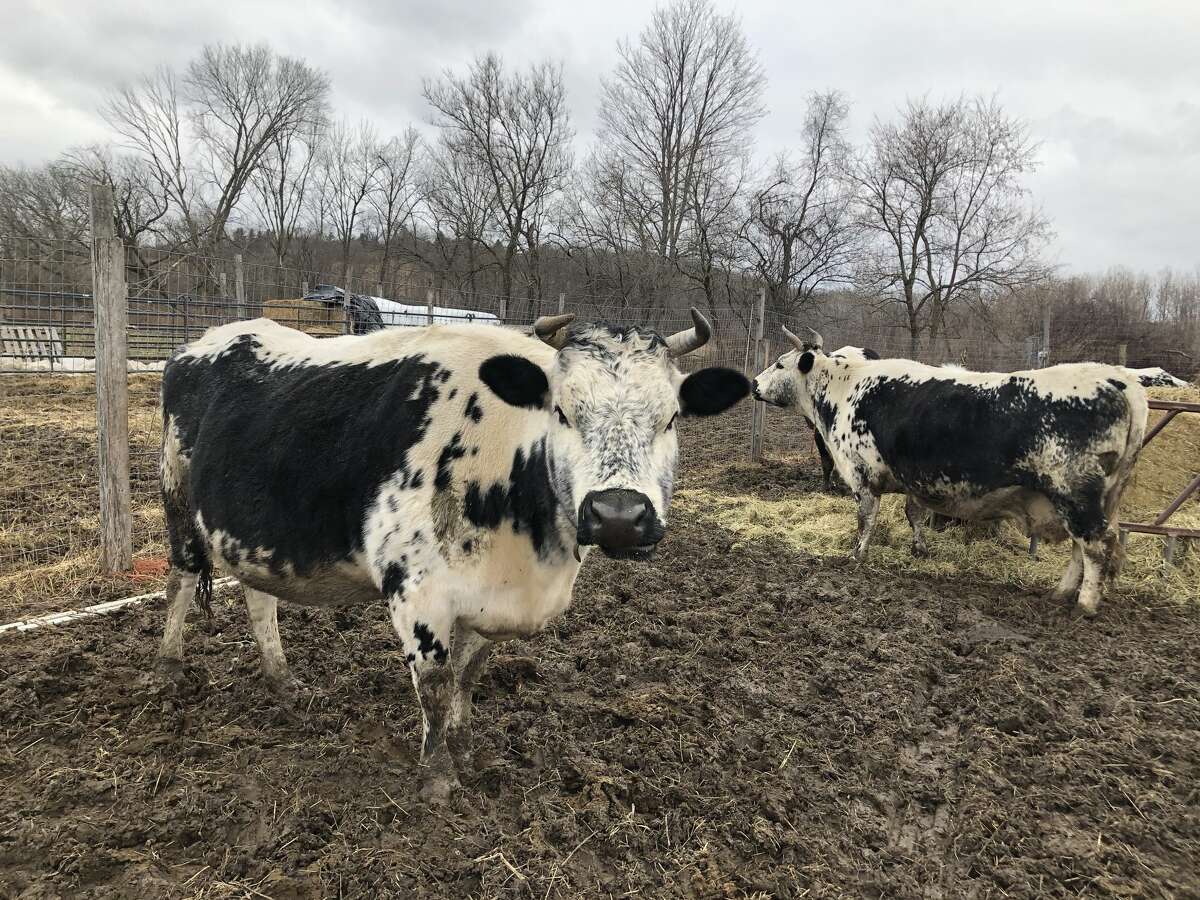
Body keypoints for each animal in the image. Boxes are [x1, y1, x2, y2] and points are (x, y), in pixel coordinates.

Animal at [157, 309, 750, 801]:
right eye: (561, 411)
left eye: (671, 417)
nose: (620, 516)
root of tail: (209, 339)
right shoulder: (417, 591)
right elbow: (436, 686)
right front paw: (437, 775)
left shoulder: (486, 599)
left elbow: (468, 677)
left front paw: (466, 752)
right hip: (178, 498)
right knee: (180, 581)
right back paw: (169, 668)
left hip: (248, 530)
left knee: (258, 598)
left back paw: (281, 678)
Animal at [751, 327, 1148, 614]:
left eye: (780, 364)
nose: (753, 384)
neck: (844, 387)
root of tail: (1116, 378)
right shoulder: (913, 478)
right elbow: (913, 513)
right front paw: (920, 549)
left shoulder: (863, 476)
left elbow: (867, 519)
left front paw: (856, 555)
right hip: (1094, 500)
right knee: (1083, 547)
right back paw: (1061, 592)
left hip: (1076, 496)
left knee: (1094, 546)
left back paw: (1084, 603)